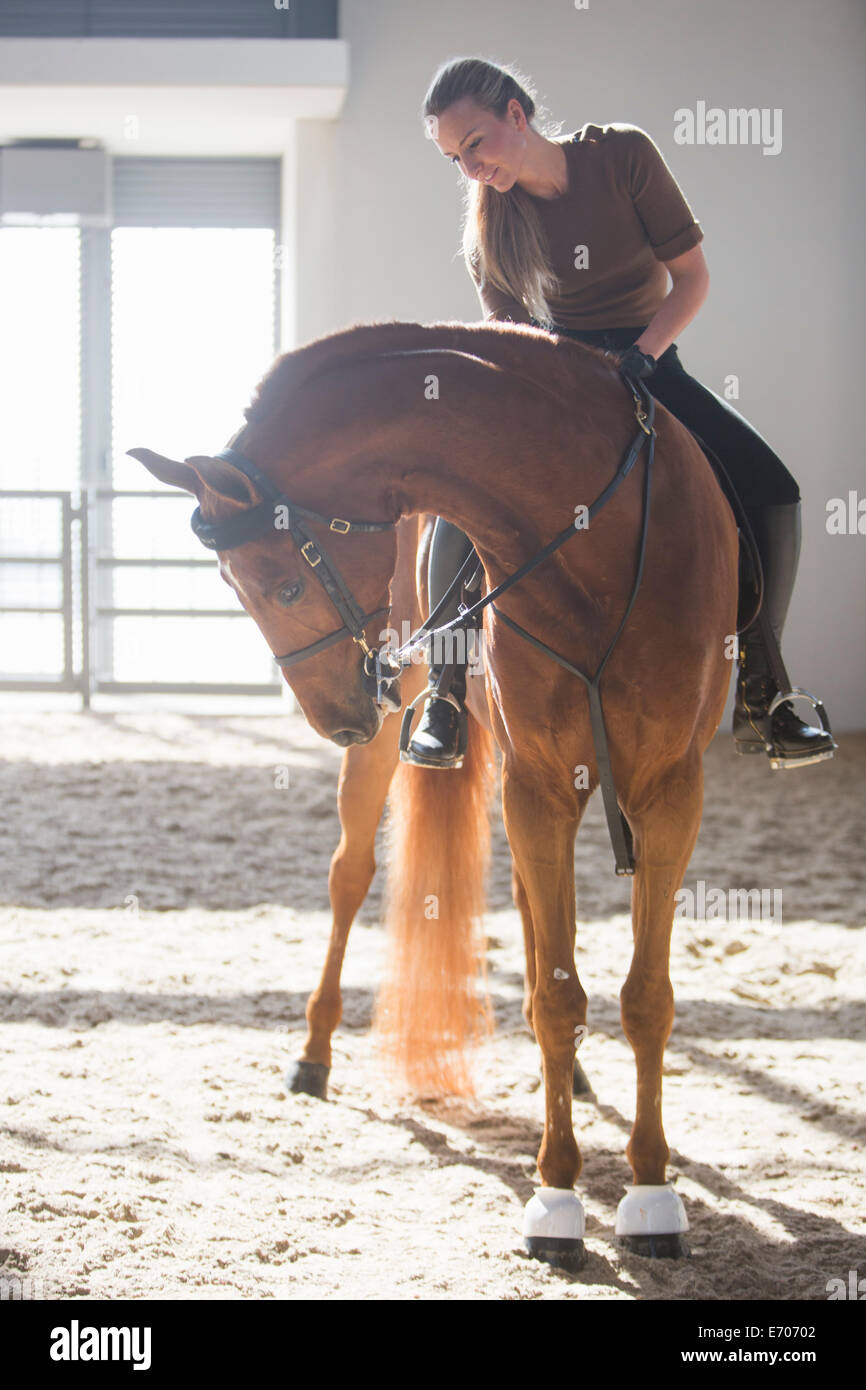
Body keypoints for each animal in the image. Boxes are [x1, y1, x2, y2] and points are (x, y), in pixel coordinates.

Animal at [130, 318, 738, 1268]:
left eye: (284, 582)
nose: (342, 714)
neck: (592, 543)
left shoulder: (671, 789)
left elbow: (645, 998)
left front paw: (649, 1194)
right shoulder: (538, 785)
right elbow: (557, 995)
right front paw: (557, 1197)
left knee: (535, 924)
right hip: (418, 750)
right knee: (351, 877)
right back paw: (314, 1054)